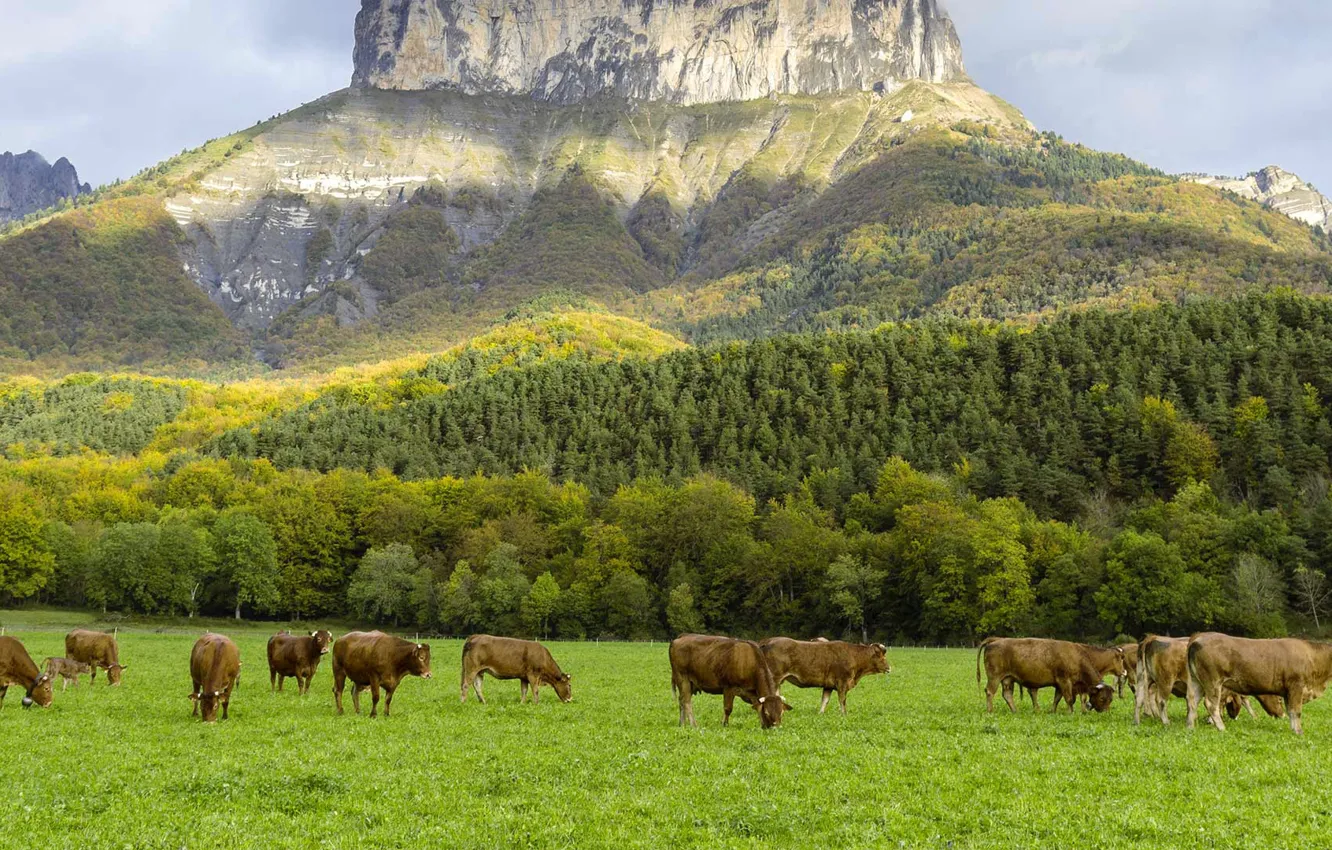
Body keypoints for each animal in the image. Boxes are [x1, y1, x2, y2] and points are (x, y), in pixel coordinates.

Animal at [758, 637, 889, 715]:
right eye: (882, 656)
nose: (889, 668)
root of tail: (768, 640)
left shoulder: (828, 685)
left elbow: (825, 700)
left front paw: (820, 713)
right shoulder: (842, 682)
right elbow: (842, 700)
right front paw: (844, 714)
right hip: (774, 678)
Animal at [977, 638, 1114, 714]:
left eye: (1111, 699)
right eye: (1102, 698)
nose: (1106, 712)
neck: (1076, 657)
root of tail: (994, 641)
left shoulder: (1059, 685)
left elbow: (1057, 698)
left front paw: (1053, 711)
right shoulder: (1064, 681)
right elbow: (1069, 699)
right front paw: (1070, 712)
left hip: (1007, 679)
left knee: (1007, 694)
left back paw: (1015, 711)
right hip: (995, 677)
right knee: (989, 692)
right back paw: (990, 710)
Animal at [1186, 632, 1332, 735]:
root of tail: (1199, 637)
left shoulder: (1288, 692)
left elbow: (1290, 711)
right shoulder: (1296, 686)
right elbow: (1296, 711)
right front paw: (1298, 732)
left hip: (1196, 681)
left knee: (1192, 701)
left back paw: (1190, 727)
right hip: (1213, 681)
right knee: (1211, 704)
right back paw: (1222, 728)